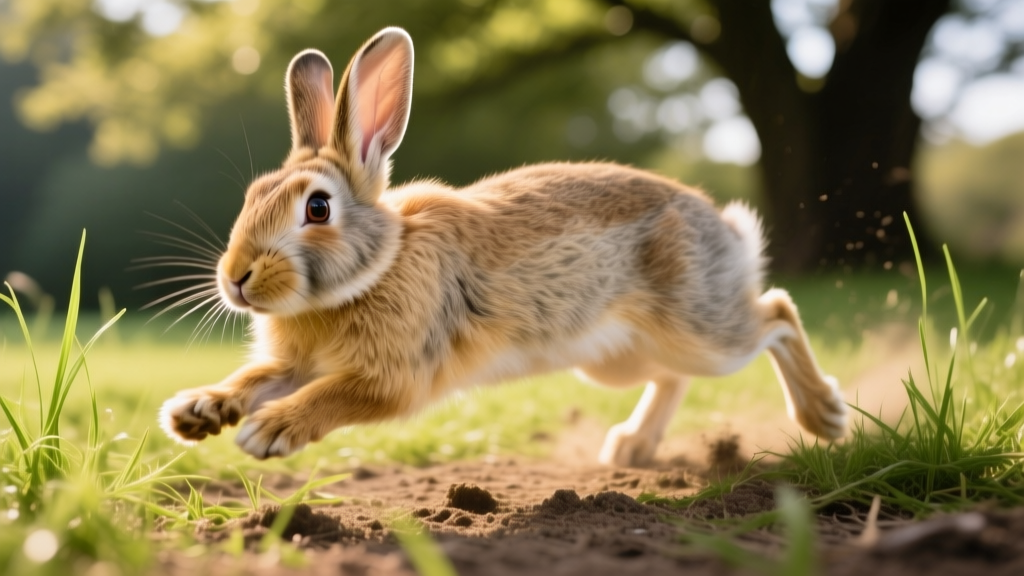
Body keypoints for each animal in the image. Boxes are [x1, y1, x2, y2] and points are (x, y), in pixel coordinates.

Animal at [159, 27, 847, 465]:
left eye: (318, 208)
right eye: (252, 195)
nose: (236, 278)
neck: (377, 266)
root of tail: (725, 230)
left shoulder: (393, 375)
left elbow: (335, 395)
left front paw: (268, 431)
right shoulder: (296, 363)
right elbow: (257, 376)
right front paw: (197, 411)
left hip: (701, 333)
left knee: (775, 313)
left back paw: (825, 416)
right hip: (618, 360)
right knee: (674, 375)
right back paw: (631, 446)